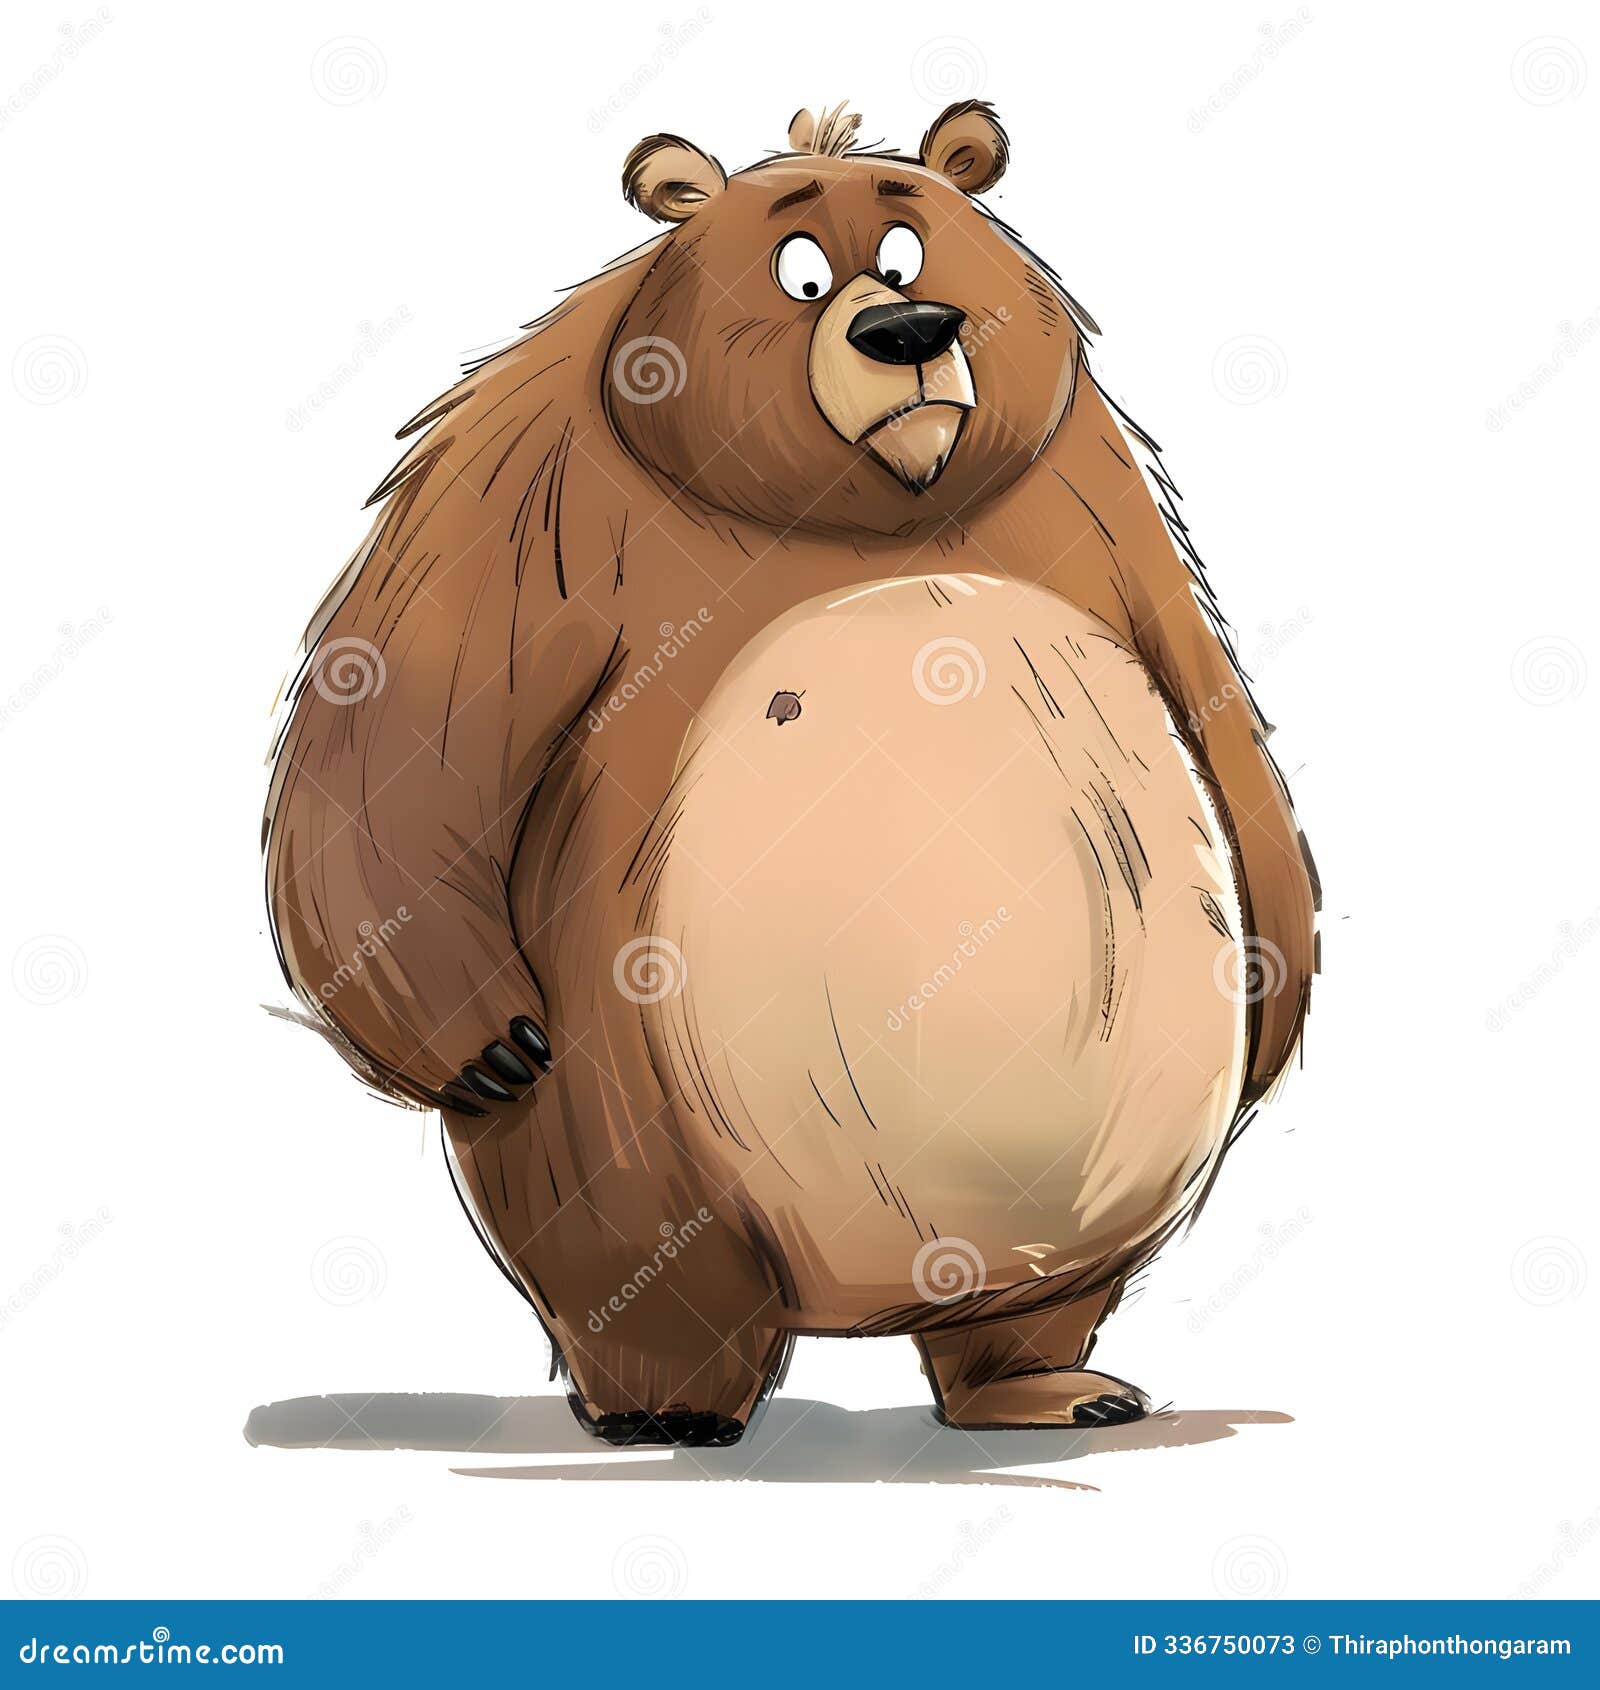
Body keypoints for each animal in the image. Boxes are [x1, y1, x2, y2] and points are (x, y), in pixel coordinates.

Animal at [263, 100, 1316, 1445]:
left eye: (911, 251)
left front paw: (1276, 979)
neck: (863, 519)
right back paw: (666, 1407)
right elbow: (400, 736)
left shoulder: (1096, 488)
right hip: (626, 1119)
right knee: (635, 1255)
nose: (908, 329)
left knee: (1027, 1304)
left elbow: (1217, 718)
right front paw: (480, 1037)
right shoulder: (527, 482)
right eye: (801, 269)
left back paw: (1041, 1384)